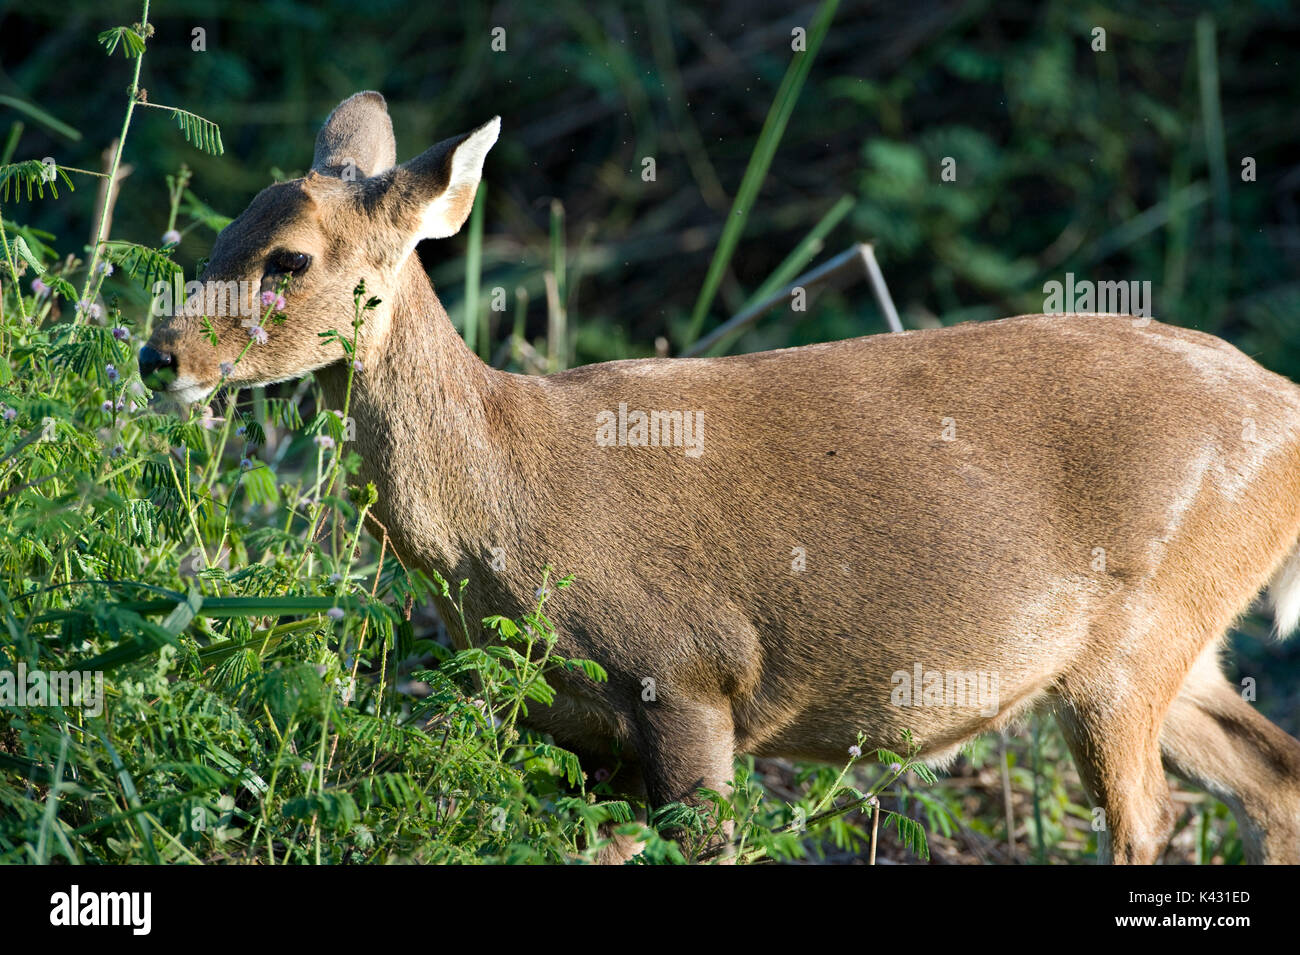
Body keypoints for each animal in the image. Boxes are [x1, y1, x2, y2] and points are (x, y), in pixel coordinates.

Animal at [140, 91, 1300, 864]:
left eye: (288, 258)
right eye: (225, 227)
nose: (161, 355)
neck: (506, 508)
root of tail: (1283, 406)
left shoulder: (690, 668)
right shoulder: (573, 725)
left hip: (1135, 638)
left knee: (1152, 816)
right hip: (1178, 640)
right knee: (1272, 775)